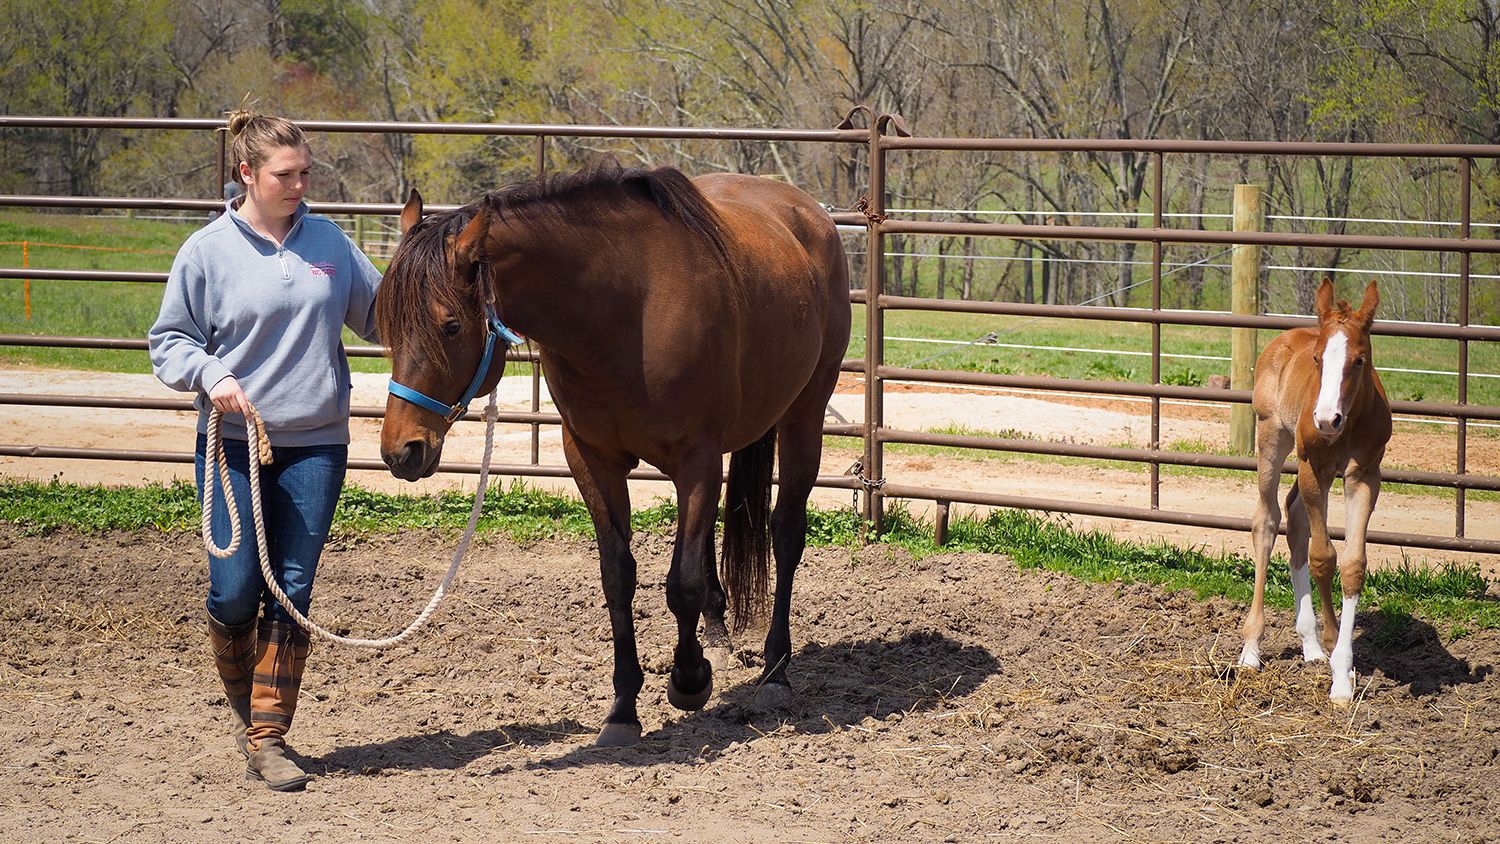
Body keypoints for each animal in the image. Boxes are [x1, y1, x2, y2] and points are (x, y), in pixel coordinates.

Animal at [373, 161, 851, 746]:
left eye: (451, 325)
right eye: (385, 322)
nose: (402, 451)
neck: (625, 310)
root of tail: (809, 215)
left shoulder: (695, 460)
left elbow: (681, 582)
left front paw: (689, 681)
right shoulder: (592, 460)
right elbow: (618, 578)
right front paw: (624, 709)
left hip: (804, 418)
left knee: (785, 536)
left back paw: (775, 672)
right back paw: (719, 633)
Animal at [1238, 277, 1391, 704]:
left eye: (1360, 359)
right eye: (1319, 358)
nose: (1326, 420)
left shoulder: (1364, 476)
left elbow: (1352, 564)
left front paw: (1342, 672)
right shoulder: (1315, 469)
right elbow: (1323, 557)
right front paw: (1333, 637)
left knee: (1295, 516)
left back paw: (1310, 646)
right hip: (1272, 437)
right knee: (1268, 520)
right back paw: (1251, 649)